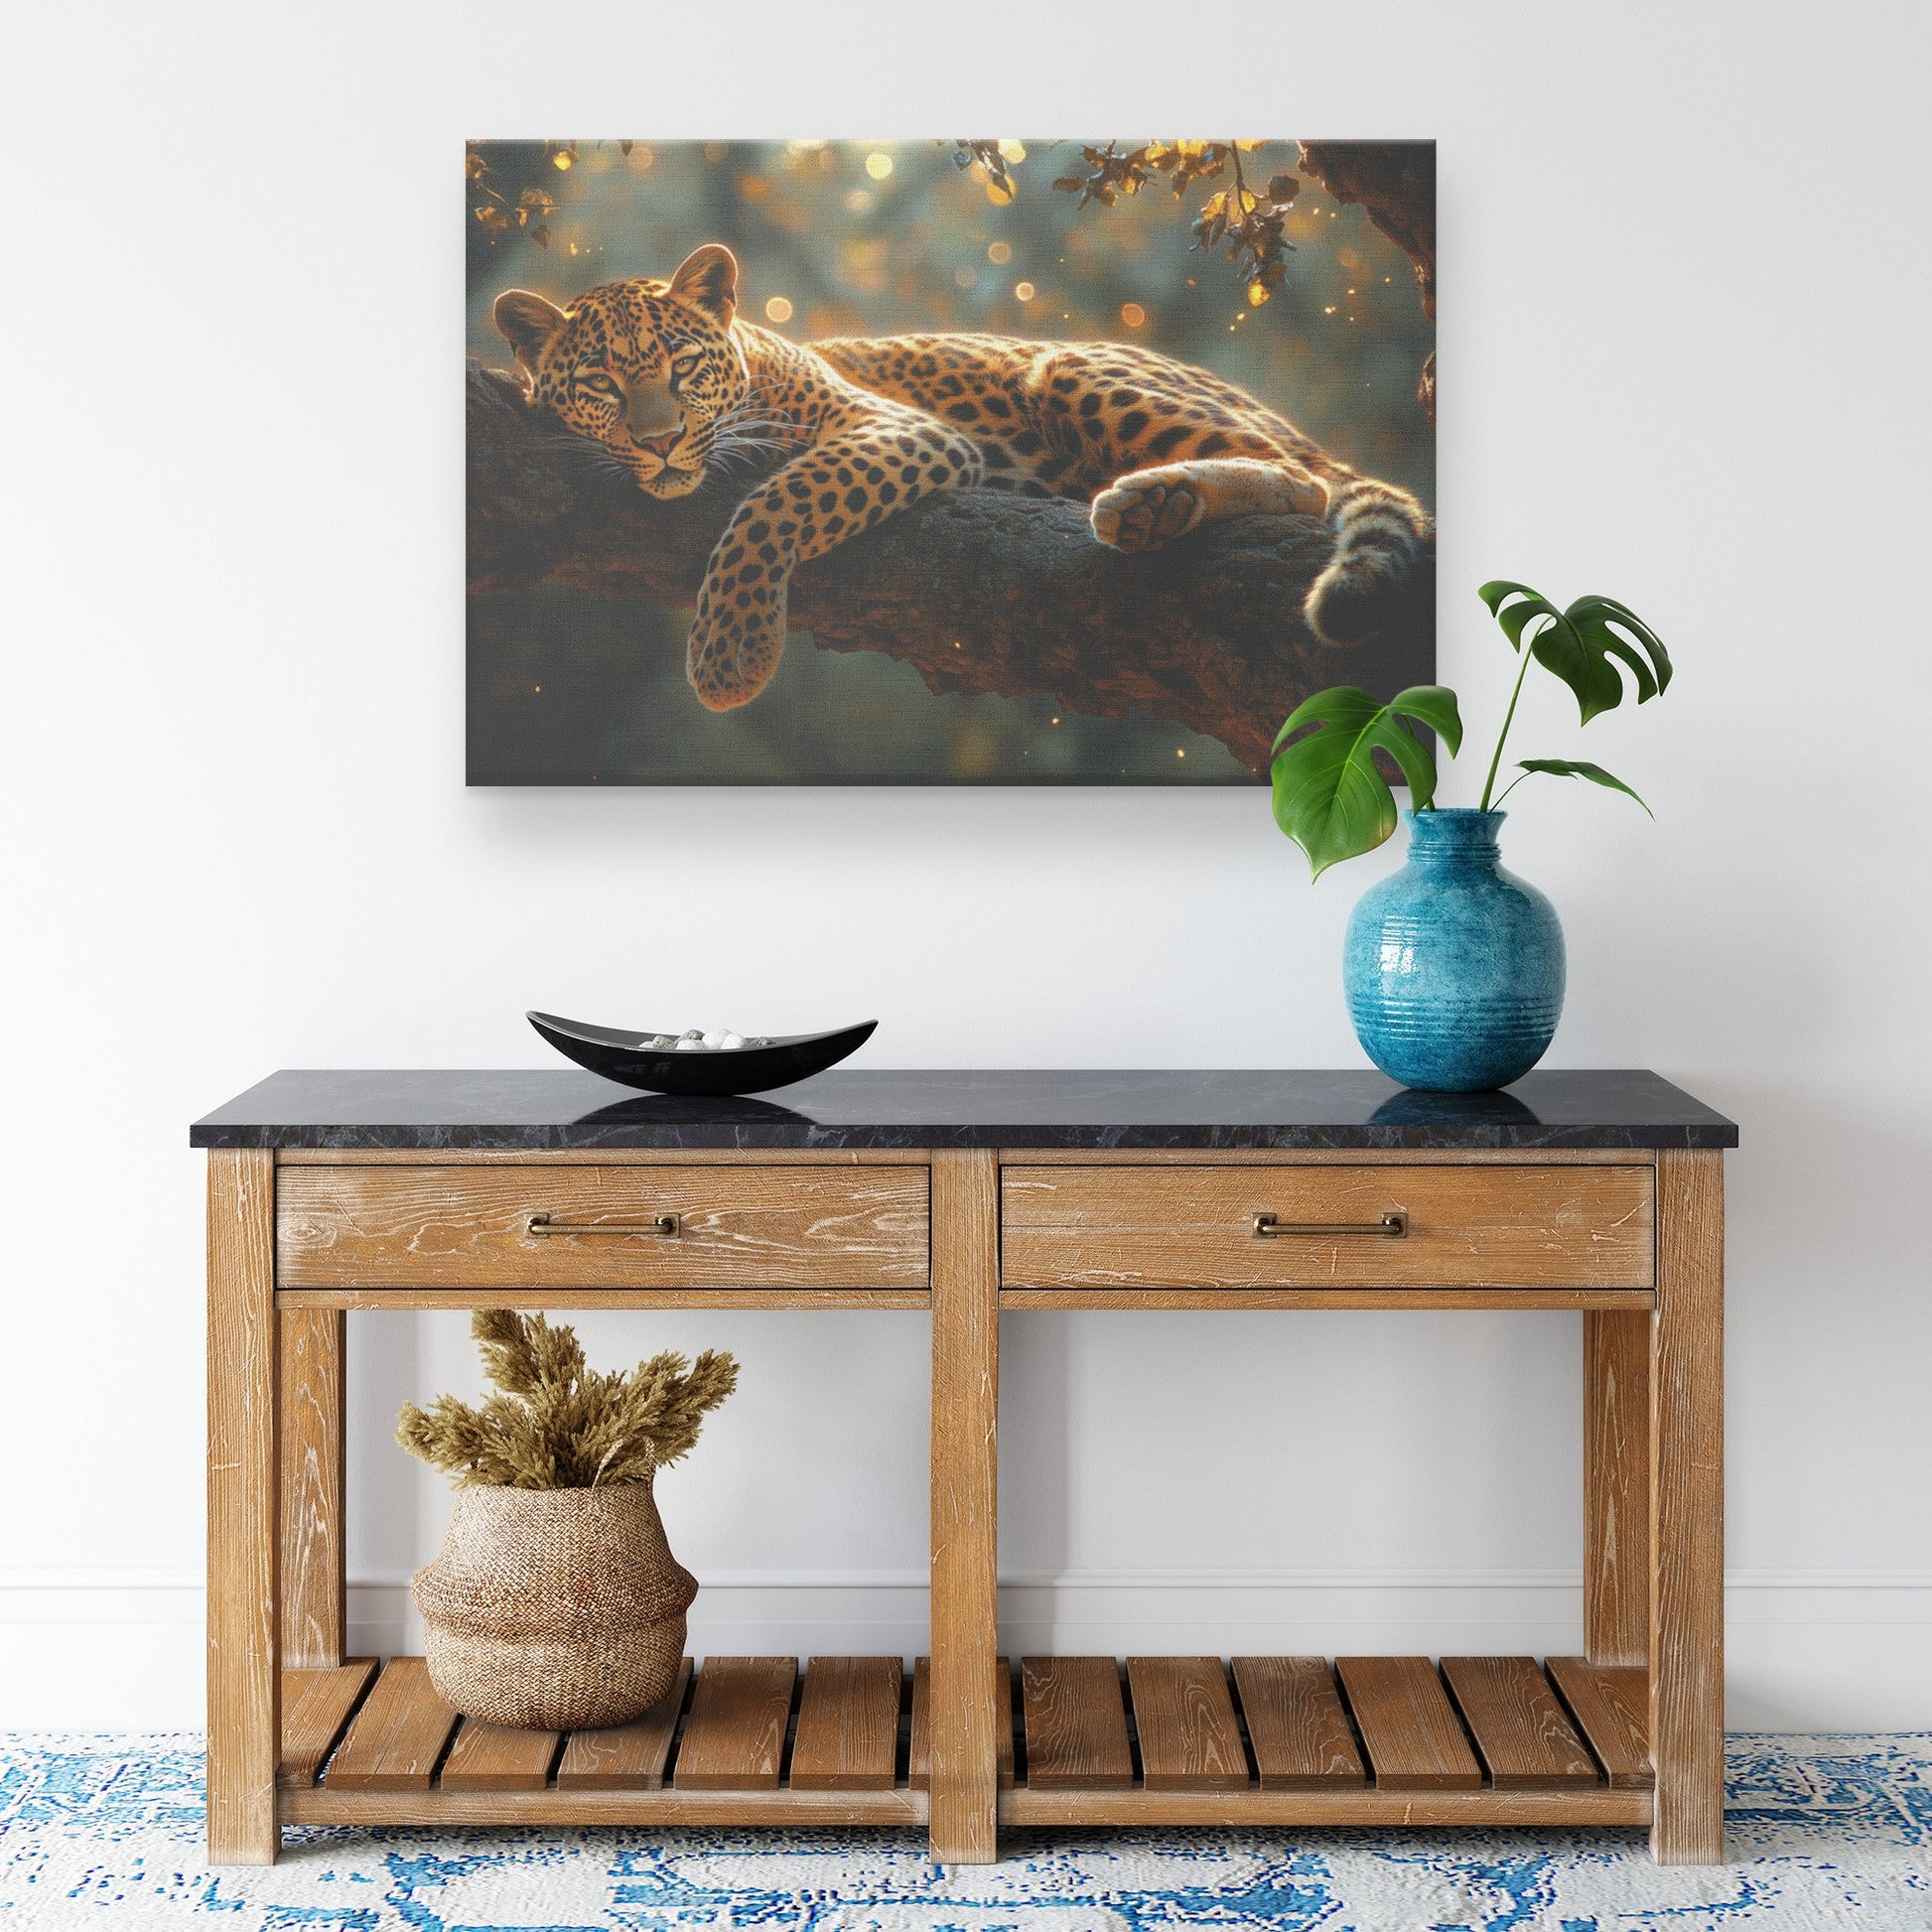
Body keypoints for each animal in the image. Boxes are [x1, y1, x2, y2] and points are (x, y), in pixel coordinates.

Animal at [494, 244, 1431, 713]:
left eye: (682, 366)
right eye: (602, 384)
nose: (659, 442)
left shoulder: (904, 429)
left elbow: (775, 498)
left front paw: (732, 653)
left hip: (1074, 368)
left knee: (1307, 481)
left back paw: (1148, 499)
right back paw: (1157, 508)